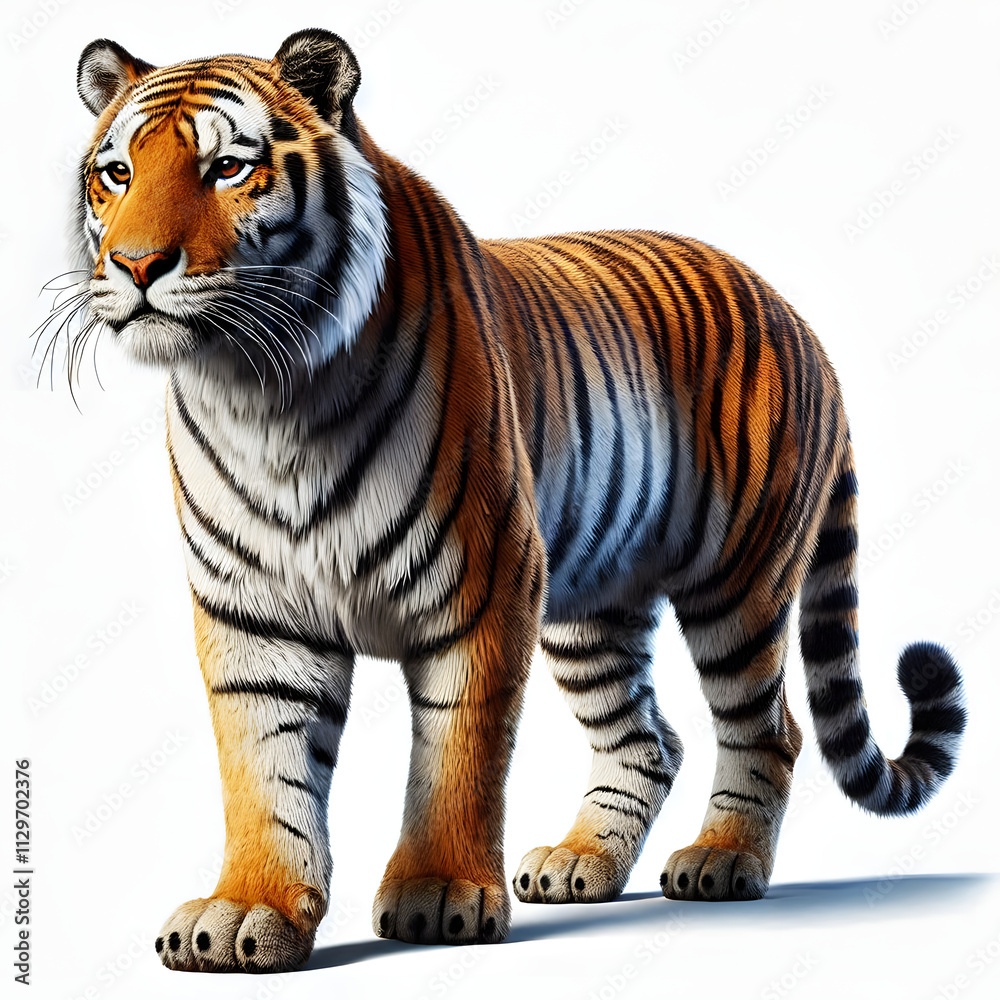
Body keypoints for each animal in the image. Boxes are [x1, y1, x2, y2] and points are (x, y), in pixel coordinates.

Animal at [64, 29, 966, 974]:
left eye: (229, 167)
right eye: (117, 173)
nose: (134, 265)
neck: (261, 394)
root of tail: (799, 319)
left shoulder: (482, 583)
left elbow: (459, 753)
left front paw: (439, 895)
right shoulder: (253, 614)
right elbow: (262, 774)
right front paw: (246, 911)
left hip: (740, 585)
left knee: (770, 731)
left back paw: (722, 861)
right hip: (595, 604)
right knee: (649, 739)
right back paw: (580, 863)